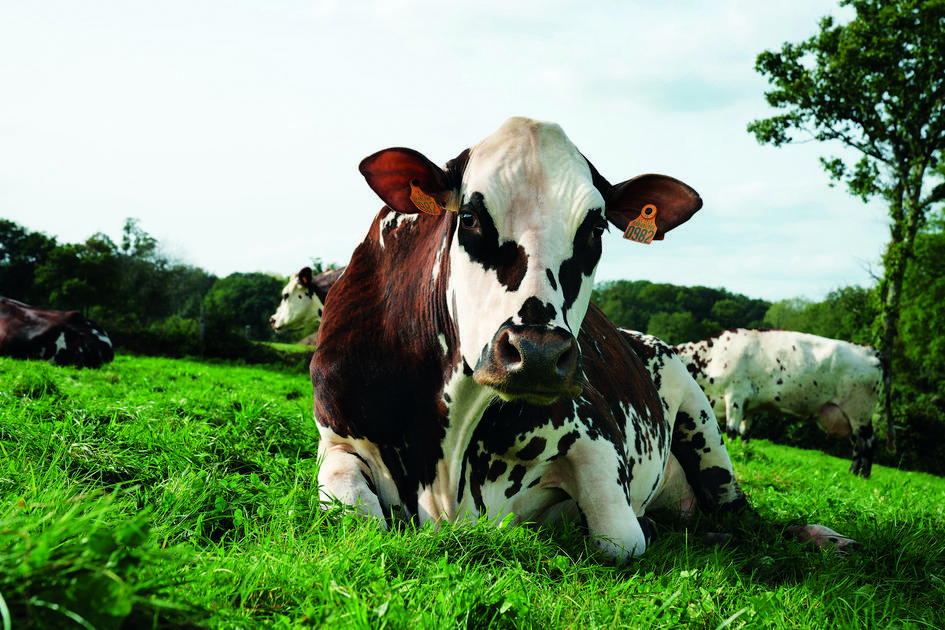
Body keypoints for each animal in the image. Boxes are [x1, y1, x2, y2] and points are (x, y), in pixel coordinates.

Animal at [310, 117, 854, 563]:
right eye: (469, 217)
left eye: (596, 229)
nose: (536, 353)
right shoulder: (337, 436)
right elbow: (356, 512)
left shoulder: (594, 432)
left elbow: (621, 537)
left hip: (703, 420)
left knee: (743, 518)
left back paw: (823, 537)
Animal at [673, 328, 893, 479]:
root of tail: (870, 351)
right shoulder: (749, 407)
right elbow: (745, 433)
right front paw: (742, 451)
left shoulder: (735, 394)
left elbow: (732, 430)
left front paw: (732, 450)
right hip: (852, 415)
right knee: (858, 443)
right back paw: (856, 472)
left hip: (859, 411)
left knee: (867, 442)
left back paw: (860, 474)